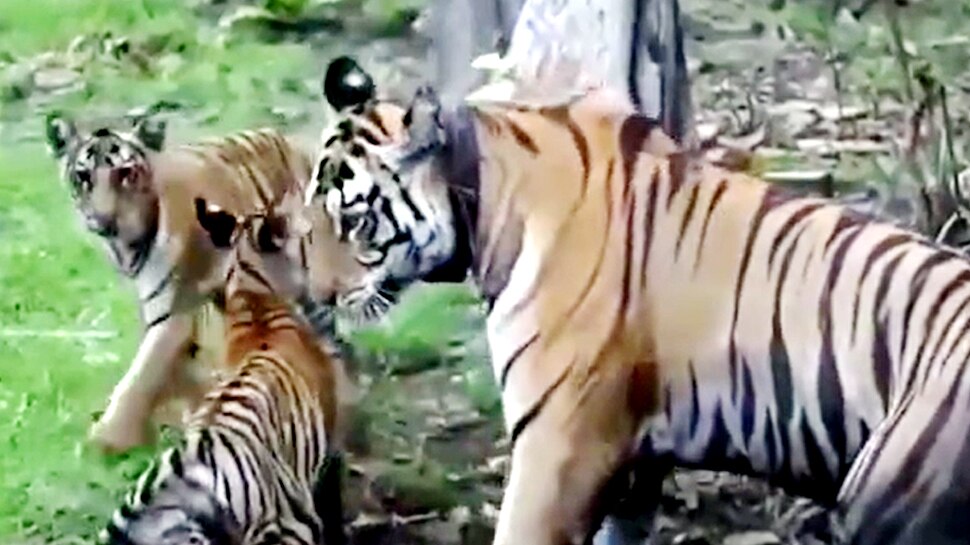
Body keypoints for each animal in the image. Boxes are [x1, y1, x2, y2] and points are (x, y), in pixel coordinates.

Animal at [44, 112, 357, 453]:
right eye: (83, 176)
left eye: (125, 174)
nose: (102, 221)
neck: (129, 244)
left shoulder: (174, 313)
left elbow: (138, 380)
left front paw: (105, 442)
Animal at [303, 55, 970, 545]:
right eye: (312, 216)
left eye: (354, 221)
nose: (317, 296)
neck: (486, 199)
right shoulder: (634, 458)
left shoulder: (559, 446)